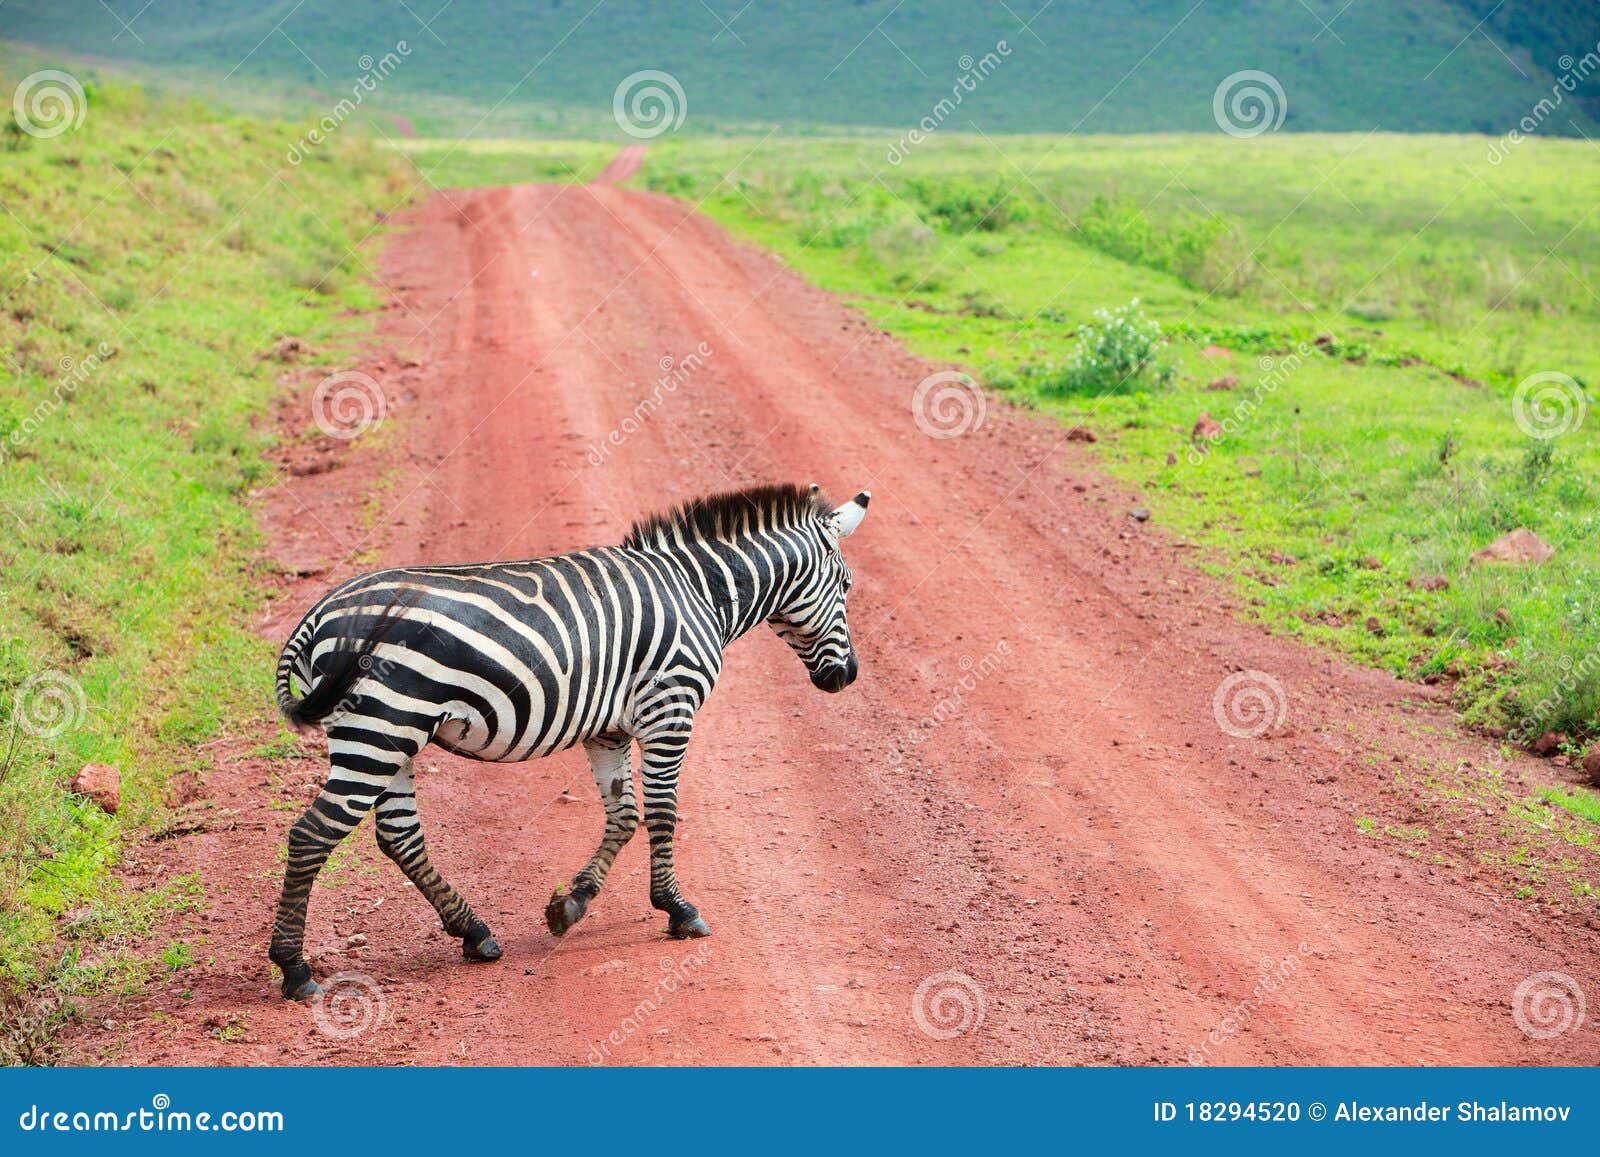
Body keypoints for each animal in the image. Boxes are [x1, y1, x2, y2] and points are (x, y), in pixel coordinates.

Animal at [269, 482, 871, 1000]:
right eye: (846, 586)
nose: (847, 677)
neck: (699, 590)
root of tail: (319, 613)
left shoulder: (609, 728)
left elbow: (625, 815)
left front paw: (571, 905)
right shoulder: (669, 707)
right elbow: (663, 811)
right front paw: (677, 910)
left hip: (393, 734)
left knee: (399, 836)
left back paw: (475, 933)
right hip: (383, 726)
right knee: (313, 835)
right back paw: (295, 969)